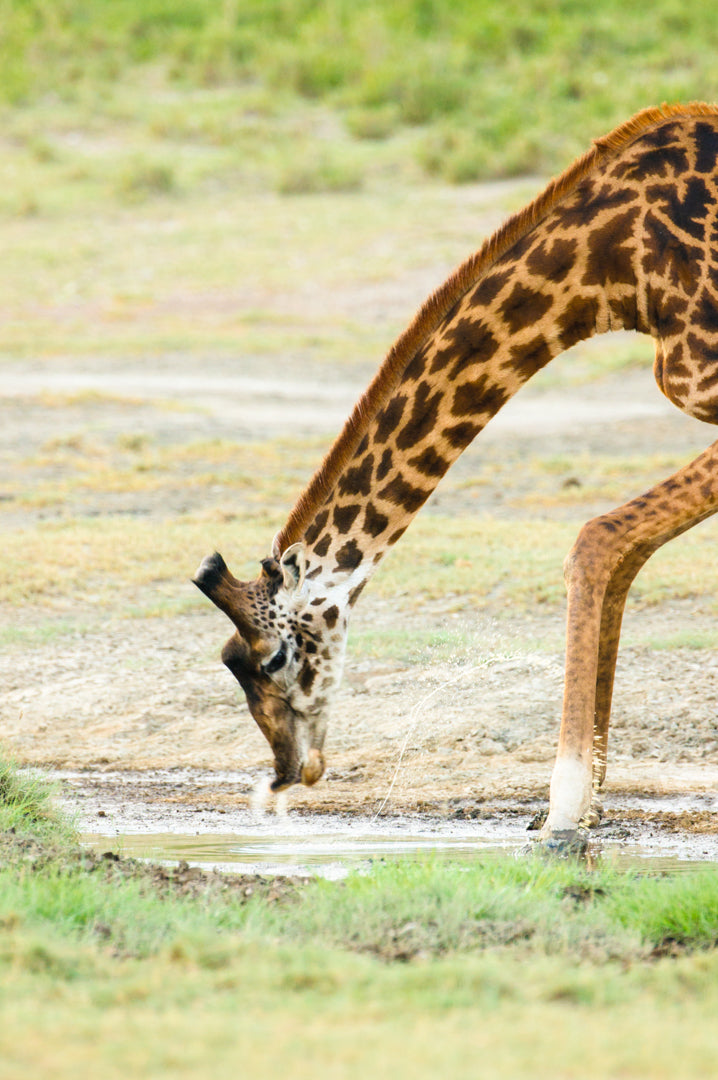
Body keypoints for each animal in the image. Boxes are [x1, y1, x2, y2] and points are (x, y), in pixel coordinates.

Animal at [194, 102, 718, 844]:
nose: (285, 775)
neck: (616, 268)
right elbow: (626, 553)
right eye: (230, 661)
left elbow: (599, 539)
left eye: (270, 658)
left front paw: (563, 810)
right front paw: (586, 803)